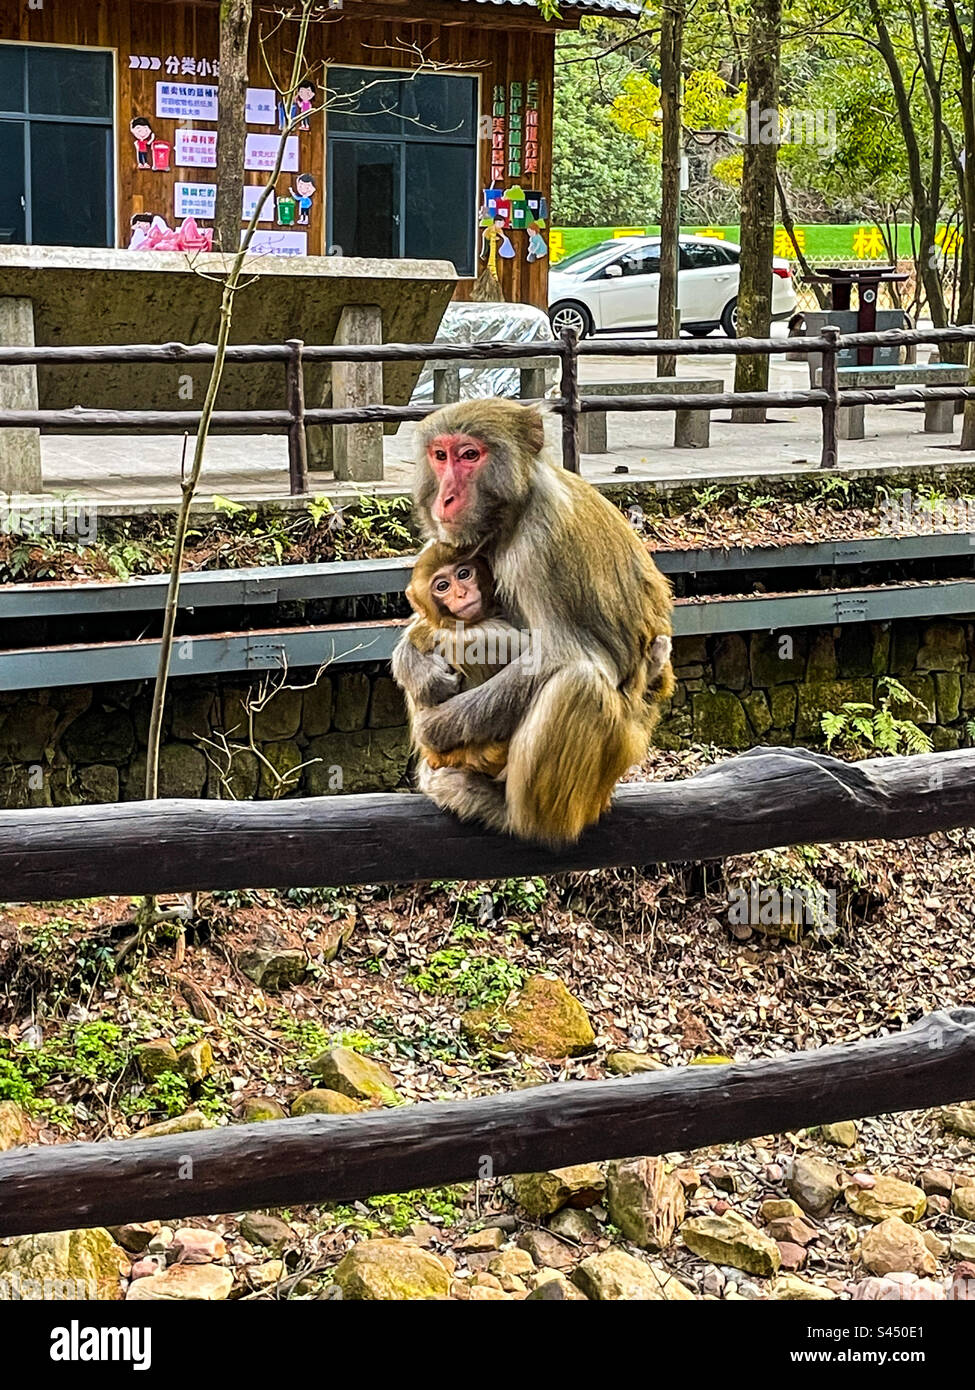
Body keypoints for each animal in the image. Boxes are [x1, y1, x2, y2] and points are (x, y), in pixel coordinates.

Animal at [391, 398, 676, 848]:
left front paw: (432, 729)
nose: (446, 498)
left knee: (577, 682)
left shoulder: (540, 546)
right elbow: (428, 622)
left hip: (615, 753)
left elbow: (560, 654)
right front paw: (415, 667)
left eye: (469, 455)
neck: (516, 511)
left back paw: (516, 817)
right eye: (440, 455)